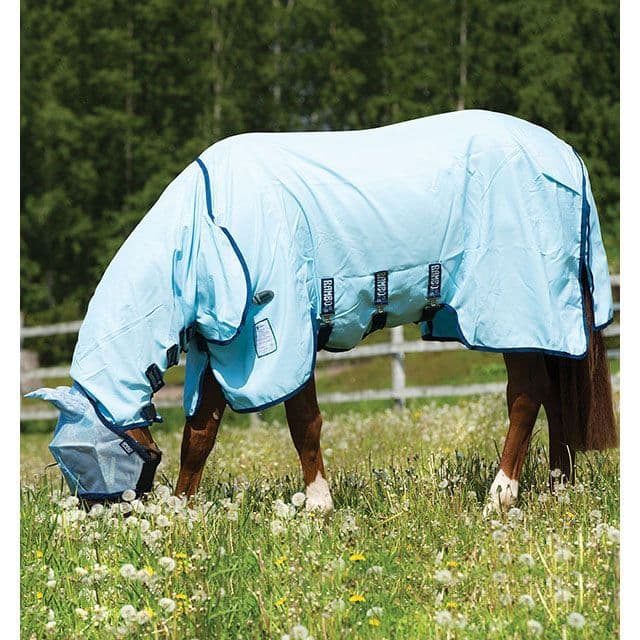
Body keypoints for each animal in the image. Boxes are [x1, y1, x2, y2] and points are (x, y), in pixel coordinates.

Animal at [27, 109, 617, 513]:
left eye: (79, 455)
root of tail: (565, 156)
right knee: (556, 396)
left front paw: (317, 504)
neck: (207, 225)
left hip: (517, 312)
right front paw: (184, 509)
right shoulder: (224, 342)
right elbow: (200, 433)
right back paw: (558, 487)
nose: (99, 517)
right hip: (545, 318)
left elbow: (301, 420)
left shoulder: (280, 330)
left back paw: (501, 493)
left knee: (527, 394)